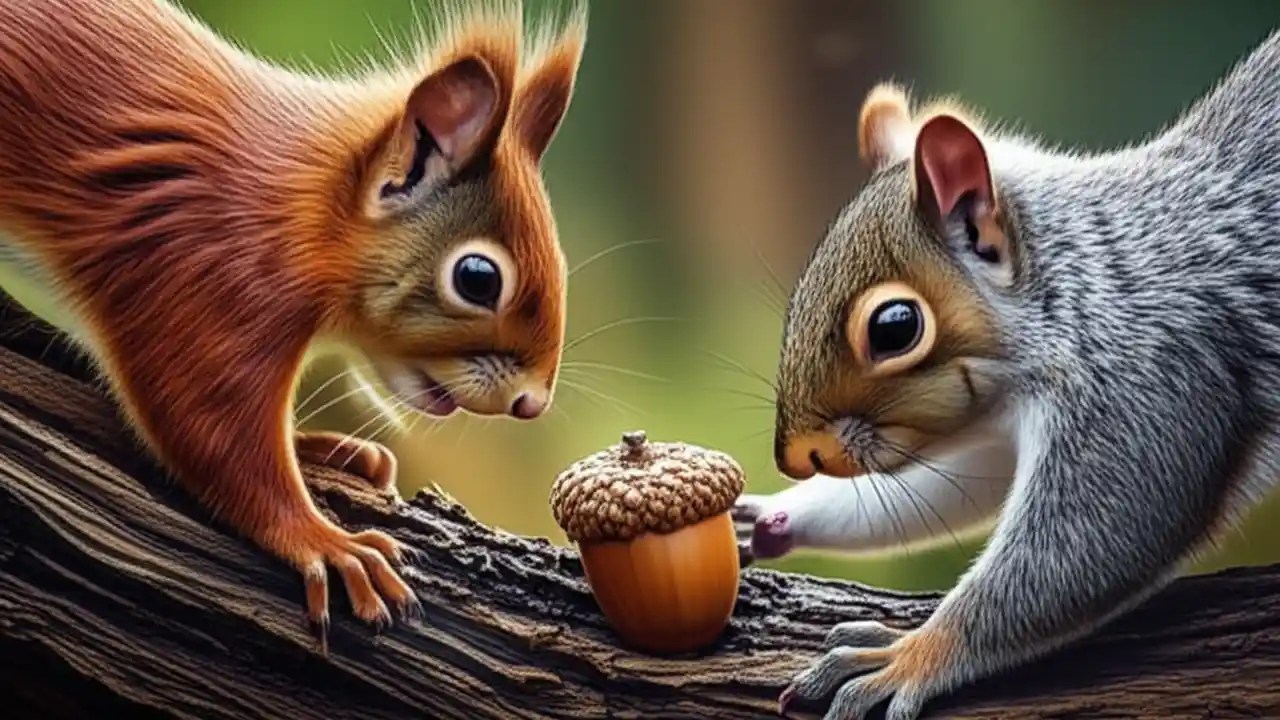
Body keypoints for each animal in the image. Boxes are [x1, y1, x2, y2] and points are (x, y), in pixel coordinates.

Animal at [0, 0, 585, 639]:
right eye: (478, 279)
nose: (532, 403)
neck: (303, 208)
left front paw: (316, 446)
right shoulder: (207, 275)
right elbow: (212, 429)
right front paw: (327, 542)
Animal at [735, 29, 1280, 720]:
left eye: (894, 327)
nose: (795, 457)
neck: (1077, 286)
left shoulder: (1150, 376)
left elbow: (1094, 538)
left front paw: (908, 655)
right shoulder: (993, 424)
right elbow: (959, 483)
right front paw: (770, 516)